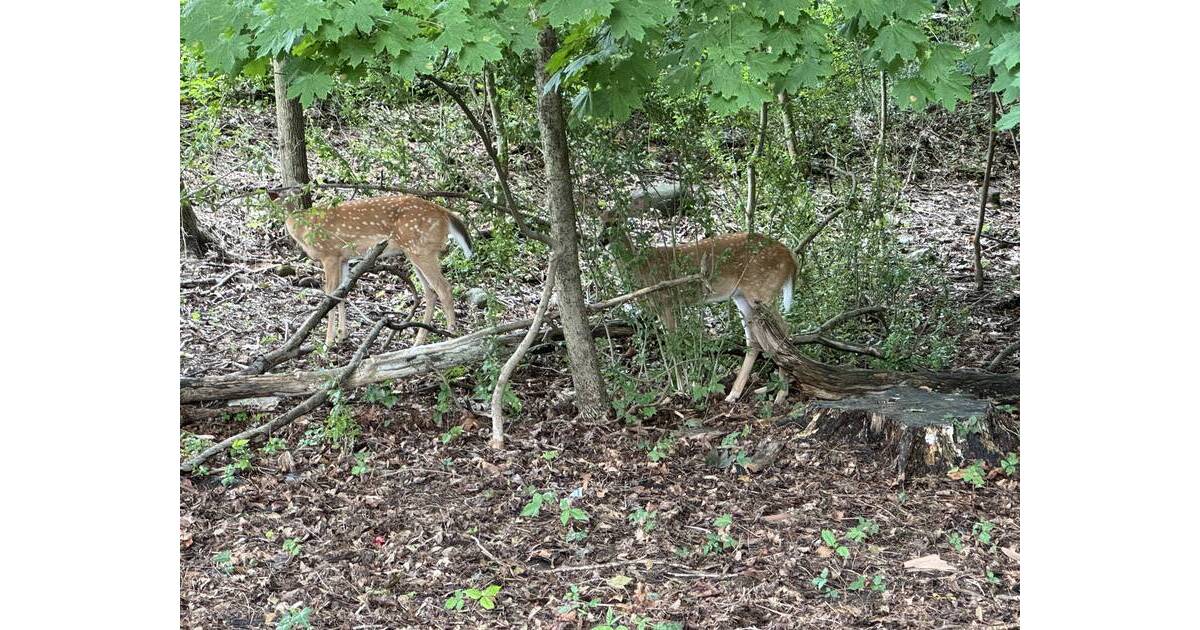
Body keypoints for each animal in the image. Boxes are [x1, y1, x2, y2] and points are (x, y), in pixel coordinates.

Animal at [284, 194, 473, 348]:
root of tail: (446, 214)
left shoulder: (329, 254)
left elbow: (330, 295)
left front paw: (328, 342)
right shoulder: (343, 258)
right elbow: (342, 293)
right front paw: (342, 336)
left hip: (422, 250)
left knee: (444, 288)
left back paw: (451, 337)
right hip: (415, 252)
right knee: (430, 291)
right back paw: (419, 342)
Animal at [600, 212, 797, 403]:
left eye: (615, 222)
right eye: (601, 221)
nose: (601, 241)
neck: (642, 269)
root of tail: (792, 259)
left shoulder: (667, 302)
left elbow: (674, 345)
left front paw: (680, 389)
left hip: (763, 291)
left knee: (785, 328)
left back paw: (781, 394)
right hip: (742, 297)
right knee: (753, 341)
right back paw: (734, 394)